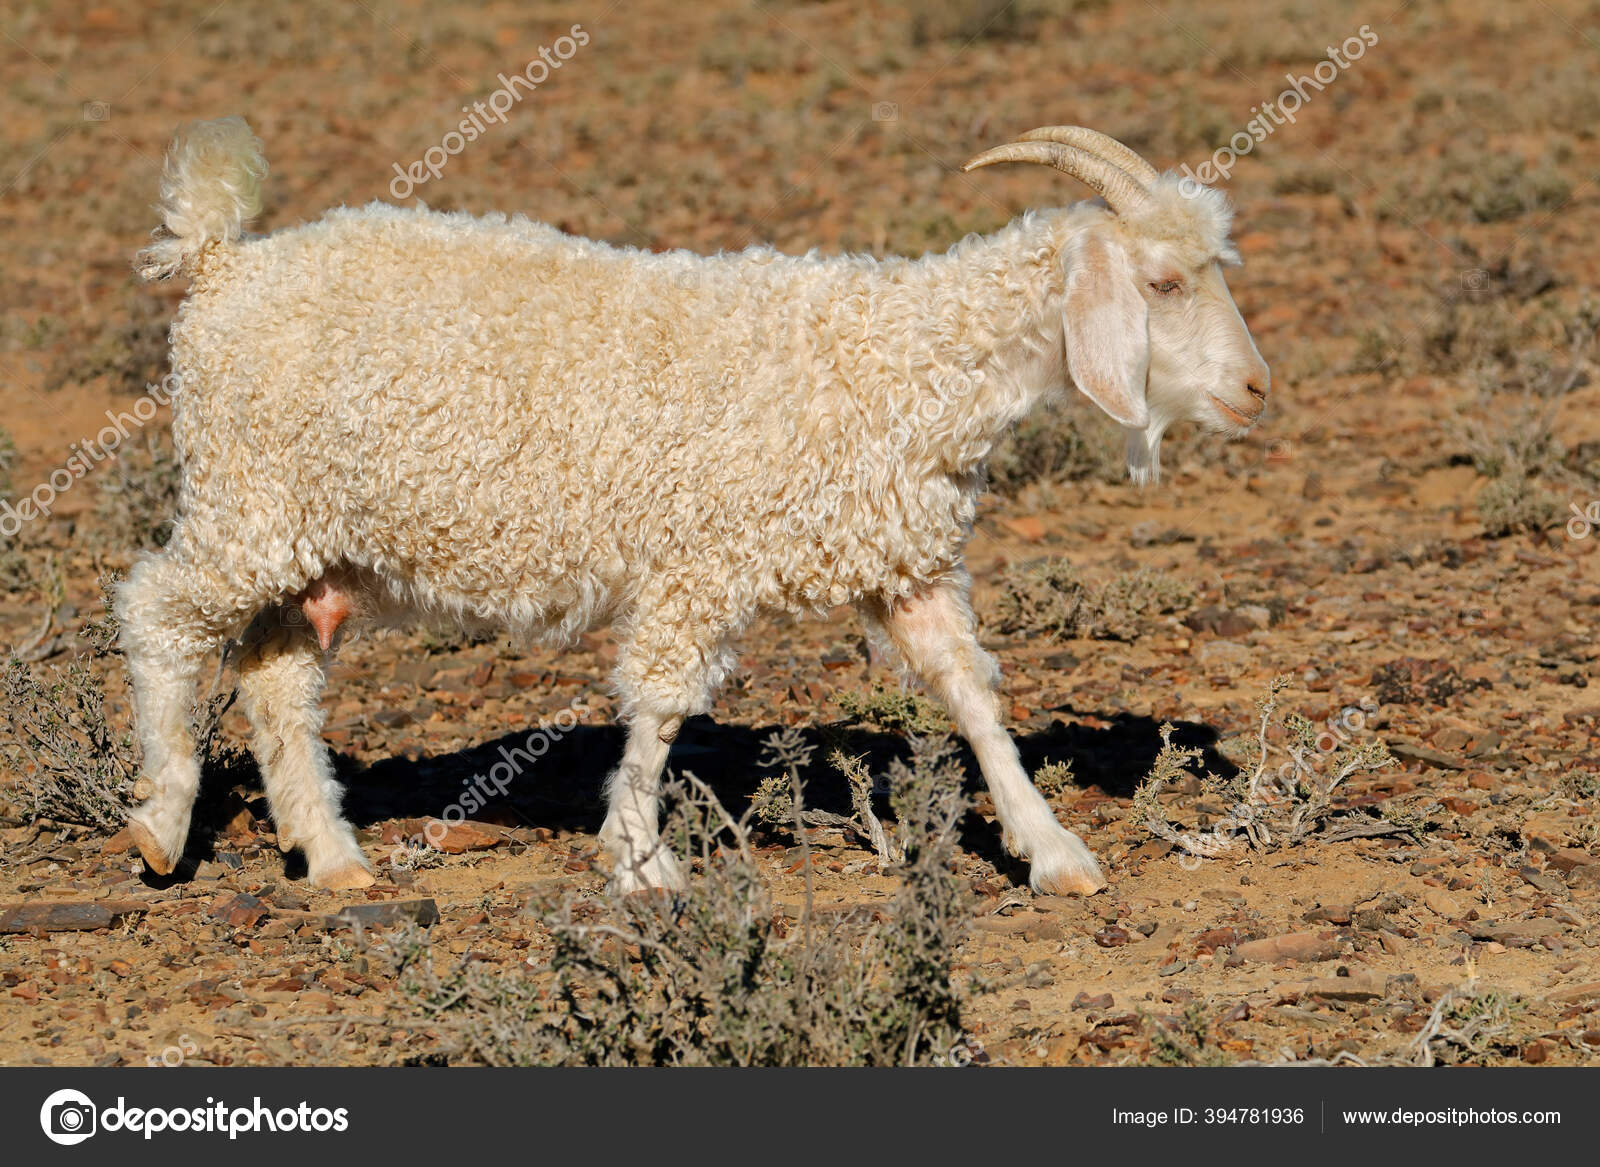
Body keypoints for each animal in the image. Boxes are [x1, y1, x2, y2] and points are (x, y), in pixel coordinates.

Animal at [119, 118, 1269, 896]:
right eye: (1164, 284)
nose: (1256, 389)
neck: (903, 357)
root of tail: (222, 265)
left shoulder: (906, 562)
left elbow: (972, 695)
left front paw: (1054, 850)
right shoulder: (699, 558)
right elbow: (662, 705)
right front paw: (640, 860)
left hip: (309, 540)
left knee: (276, 674)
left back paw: (332, 855)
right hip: (245, 501)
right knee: (159, 613)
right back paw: (162, 825)